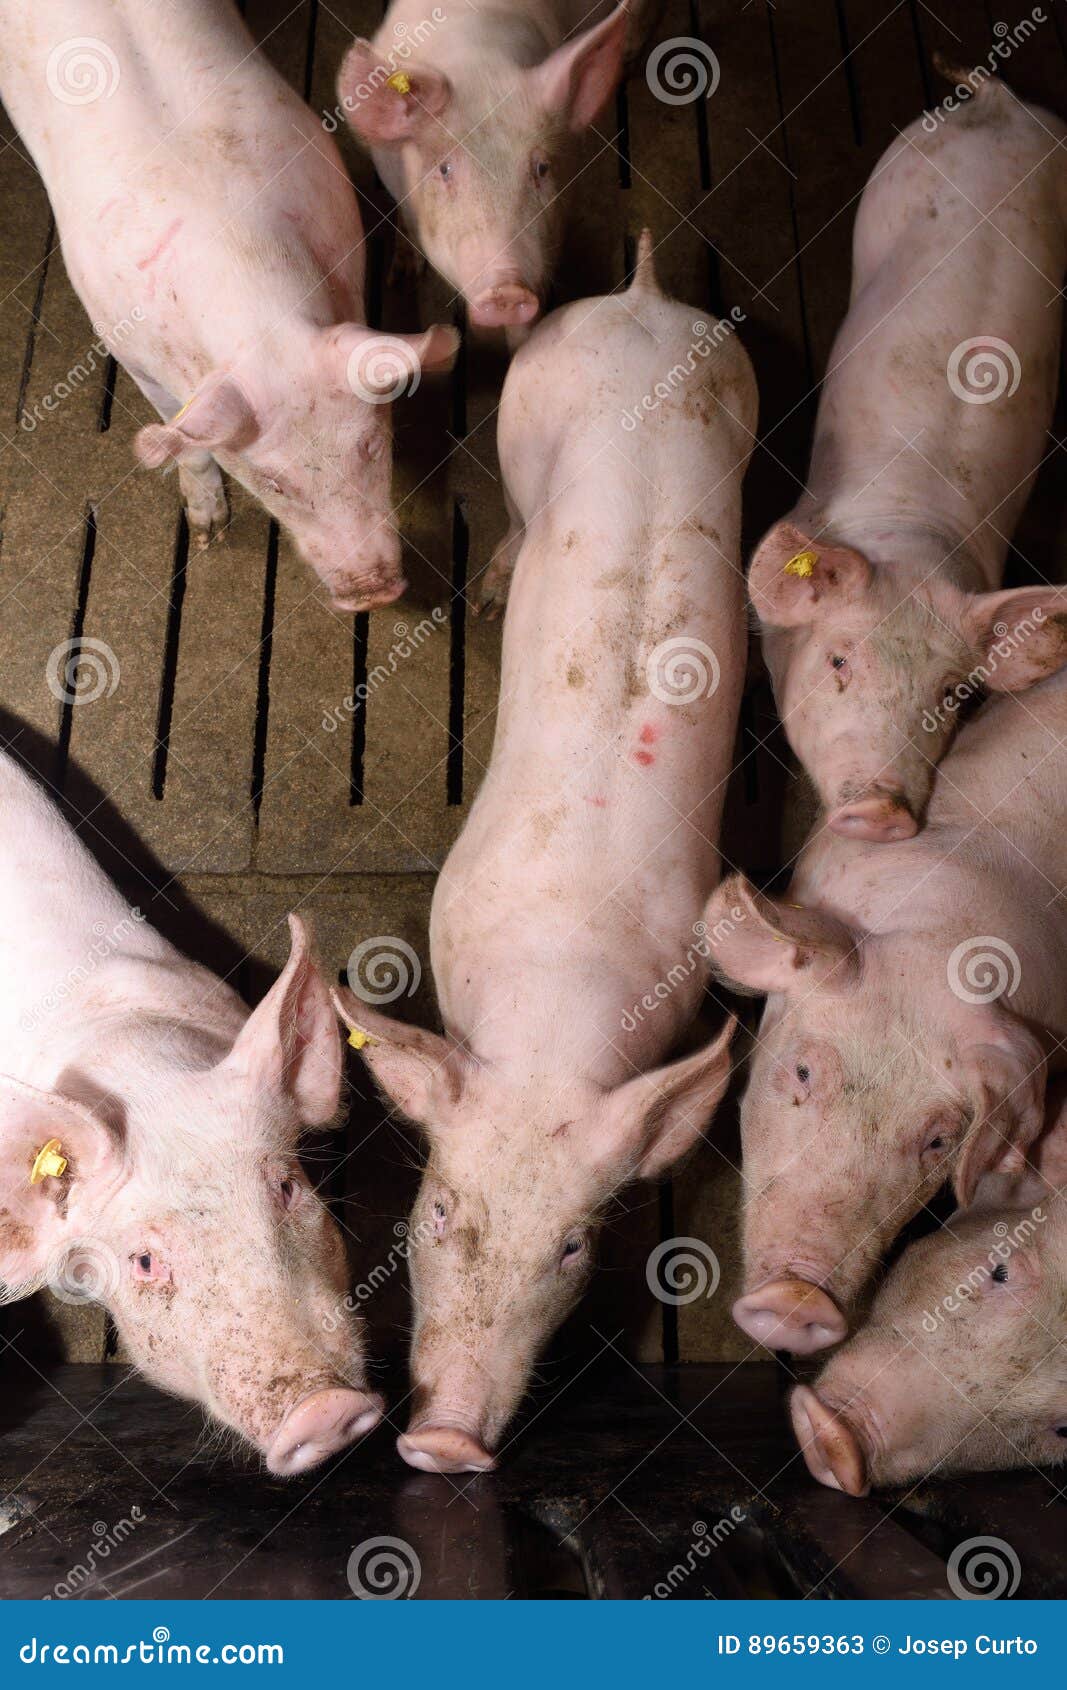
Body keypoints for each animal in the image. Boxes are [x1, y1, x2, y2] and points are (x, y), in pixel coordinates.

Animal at [0, 0, 459, 610]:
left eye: (370, 444)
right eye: (272, 482)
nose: (374, 592)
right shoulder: (130, 349)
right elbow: (182, 434)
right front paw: (208, 534)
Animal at [333, 234, 755, 1471]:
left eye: (571, 1250)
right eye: (433, 1210)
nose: (445, 1445)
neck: (552, 1012)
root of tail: (643, 298)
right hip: (524, 410)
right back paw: (491, 583)